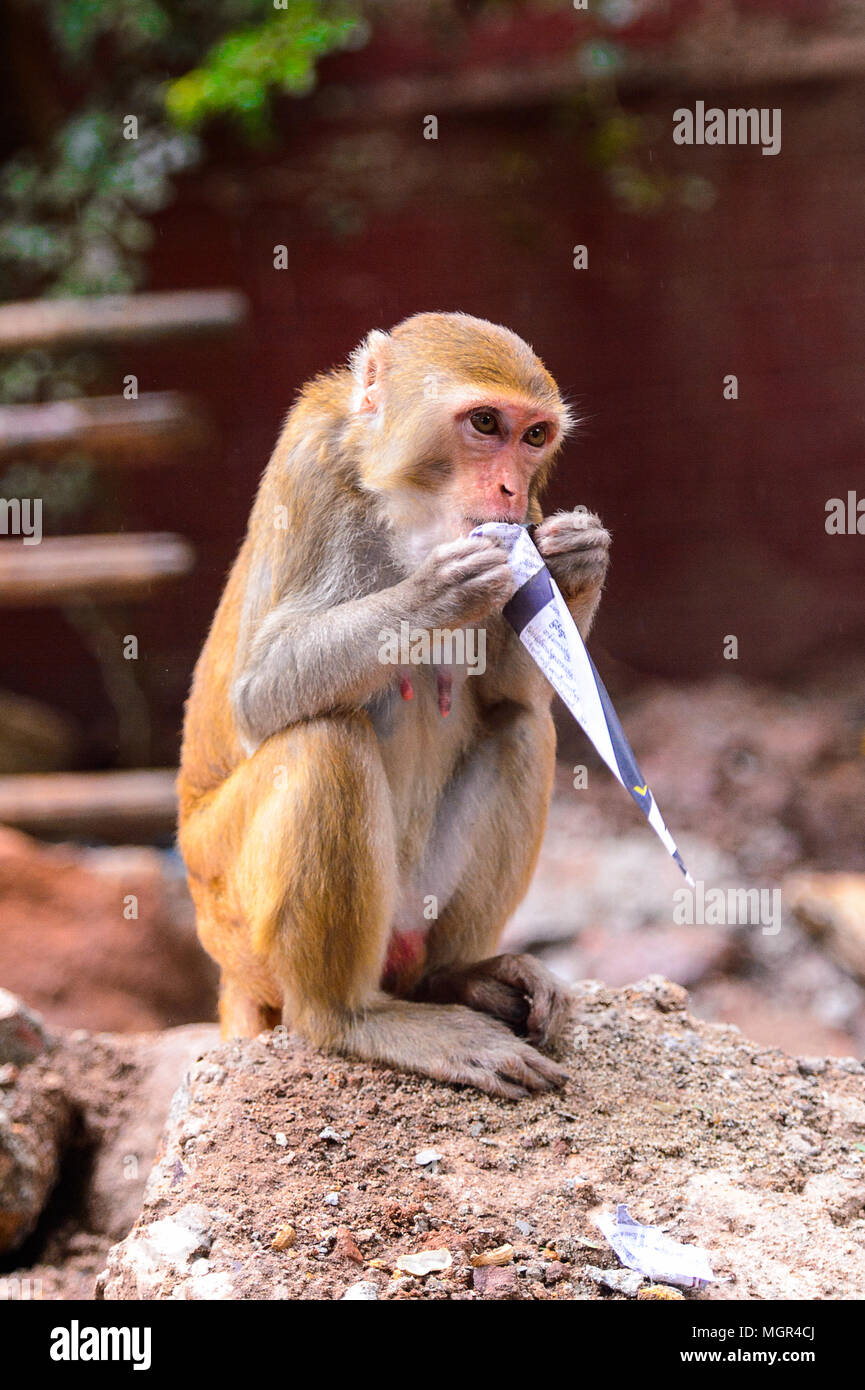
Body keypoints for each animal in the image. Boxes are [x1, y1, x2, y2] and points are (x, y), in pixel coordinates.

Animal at [177, 312, 611, 1099]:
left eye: (534, 437)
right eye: (484, 423)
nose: (509, 488)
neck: (406, 510)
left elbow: (515, 692)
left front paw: (579, 558)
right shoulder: (307, 466)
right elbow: (258, 695)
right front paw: (435, 594)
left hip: (414, 913)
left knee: (523, 729)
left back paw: (457, 978)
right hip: (233, 921)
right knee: (324, 738)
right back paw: (348, 1018)